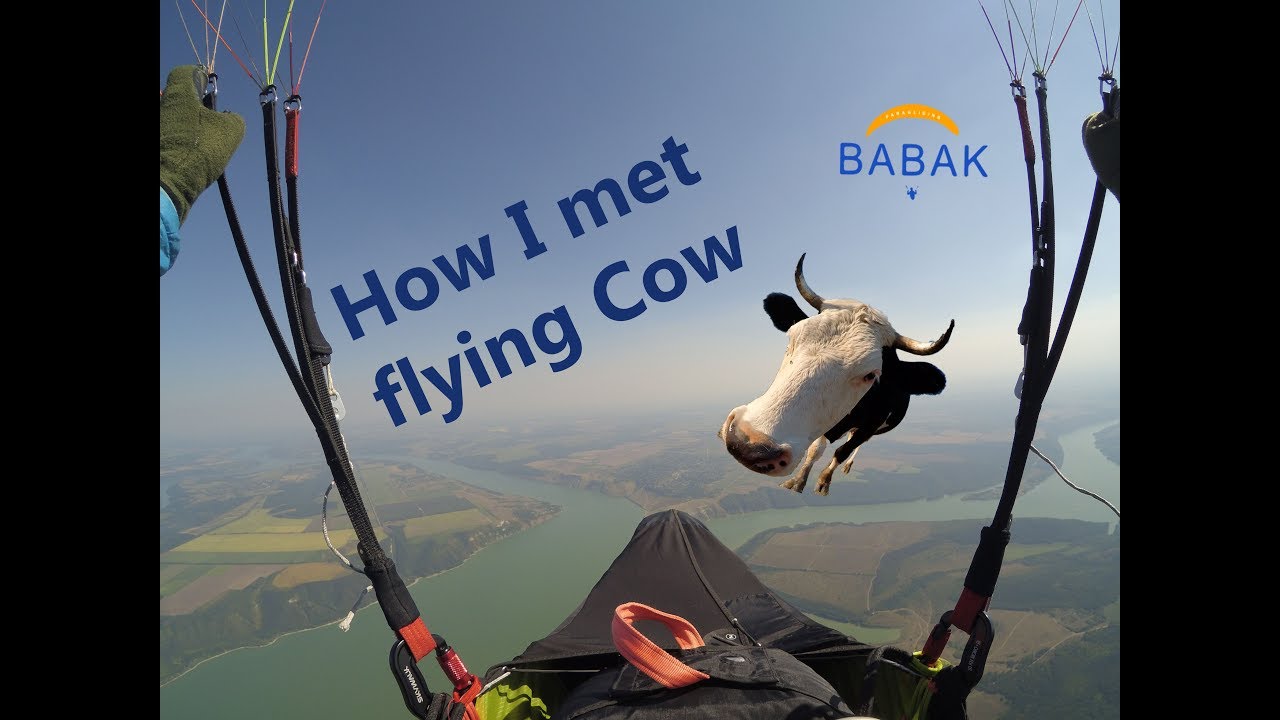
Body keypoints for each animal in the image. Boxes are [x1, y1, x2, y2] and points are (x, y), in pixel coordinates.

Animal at [719, 254, 953, 495]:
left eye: (871, 375)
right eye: (792, 336)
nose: (748, 444)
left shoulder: (869, 427)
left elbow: (842, 451)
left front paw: (824, 480)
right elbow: (816, 449)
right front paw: (798, 481)